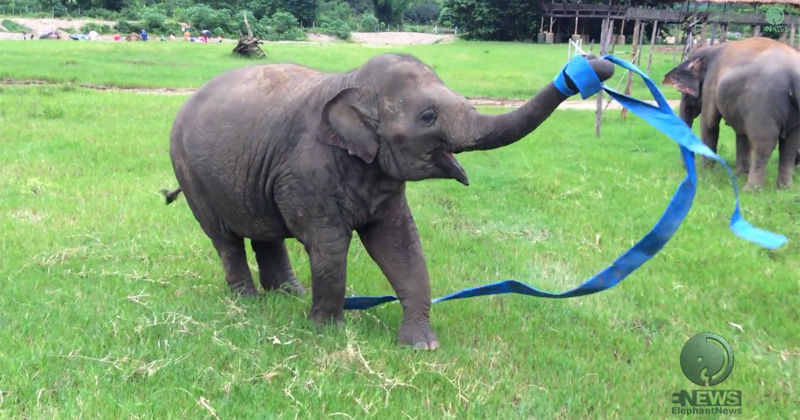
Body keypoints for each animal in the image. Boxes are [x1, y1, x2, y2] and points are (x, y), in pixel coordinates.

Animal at [161, 53, 614, 349]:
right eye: (428, 117)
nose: (594, 67)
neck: (349, 83)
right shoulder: (306, 171)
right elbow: (329, 246)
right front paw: (327, 333)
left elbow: (398, 243)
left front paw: (420, 346)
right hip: (189, 169)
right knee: (225, 238)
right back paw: (248, 301)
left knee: (264, 231)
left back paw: (289, 295)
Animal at [662, 37, 800, 190]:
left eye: (684, 92)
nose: (685, 167)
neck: (712, 48)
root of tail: (794, 75)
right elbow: (741, 133)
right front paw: (740, 174)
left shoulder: (711, 84)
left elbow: (709, 124)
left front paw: (706, 172)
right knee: (790, 146)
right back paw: (783, 188)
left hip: (762, 102)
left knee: (764, 144)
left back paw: (751, 189)